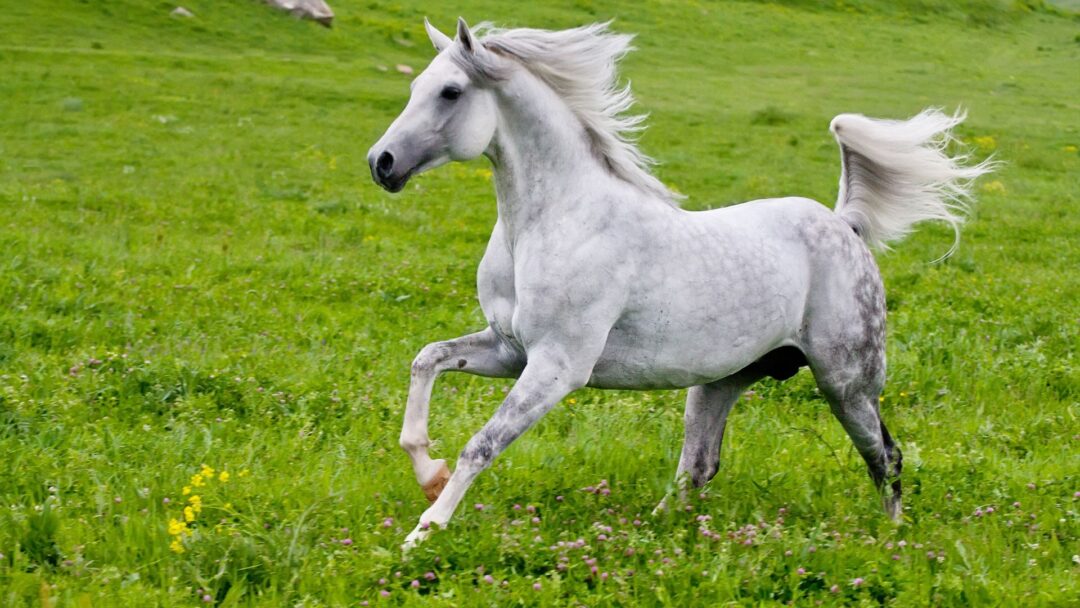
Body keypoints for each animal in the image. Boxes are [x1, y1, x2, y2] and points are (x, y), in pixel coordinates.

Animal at [367, 18, 993, 548]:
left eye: (450, 92)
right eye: (417, 85)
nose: (382, 162)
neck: (555, 222)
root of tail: (844, 224)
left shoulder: (557, 366)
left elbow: (482, 444)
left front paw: (423, 531)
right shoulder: (508, 349)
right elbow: (427, 359)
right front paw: (427, 471)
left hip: (848, 383)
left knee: (886, 455)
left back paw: (893, 541)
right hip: (720, 382)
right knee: (699, 466)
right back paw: (650, 533)